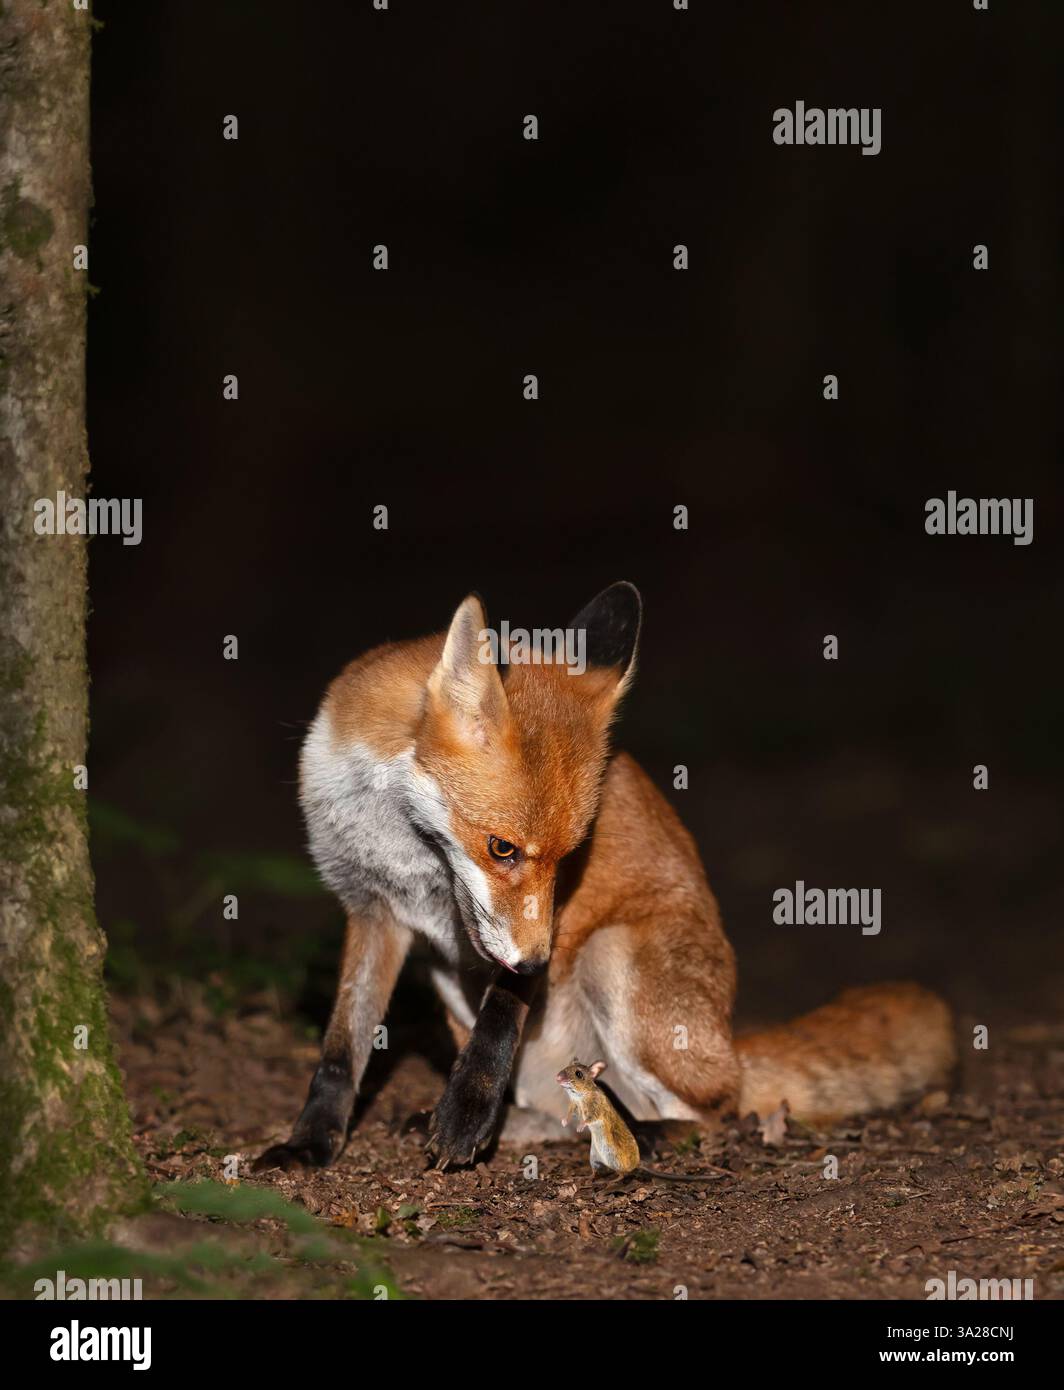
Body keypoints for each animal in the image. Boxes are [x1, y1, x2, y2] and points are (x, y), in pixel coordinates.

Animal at [255, 582, 955, 1173]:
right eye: (502, 848)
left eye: (570, 858)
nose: (539, 965)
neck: (402, 839)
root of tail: (731, 1044)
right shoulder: (372, 909)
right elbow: (341, 1050)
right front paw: (309, 1144)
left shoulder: (550, 924)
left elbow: (499, 1019)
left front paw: (464, 1116)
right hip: (465, 987)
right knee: (559, 1103)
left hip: (611, 957)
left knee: (718, 1111)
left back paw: (639, 1131)